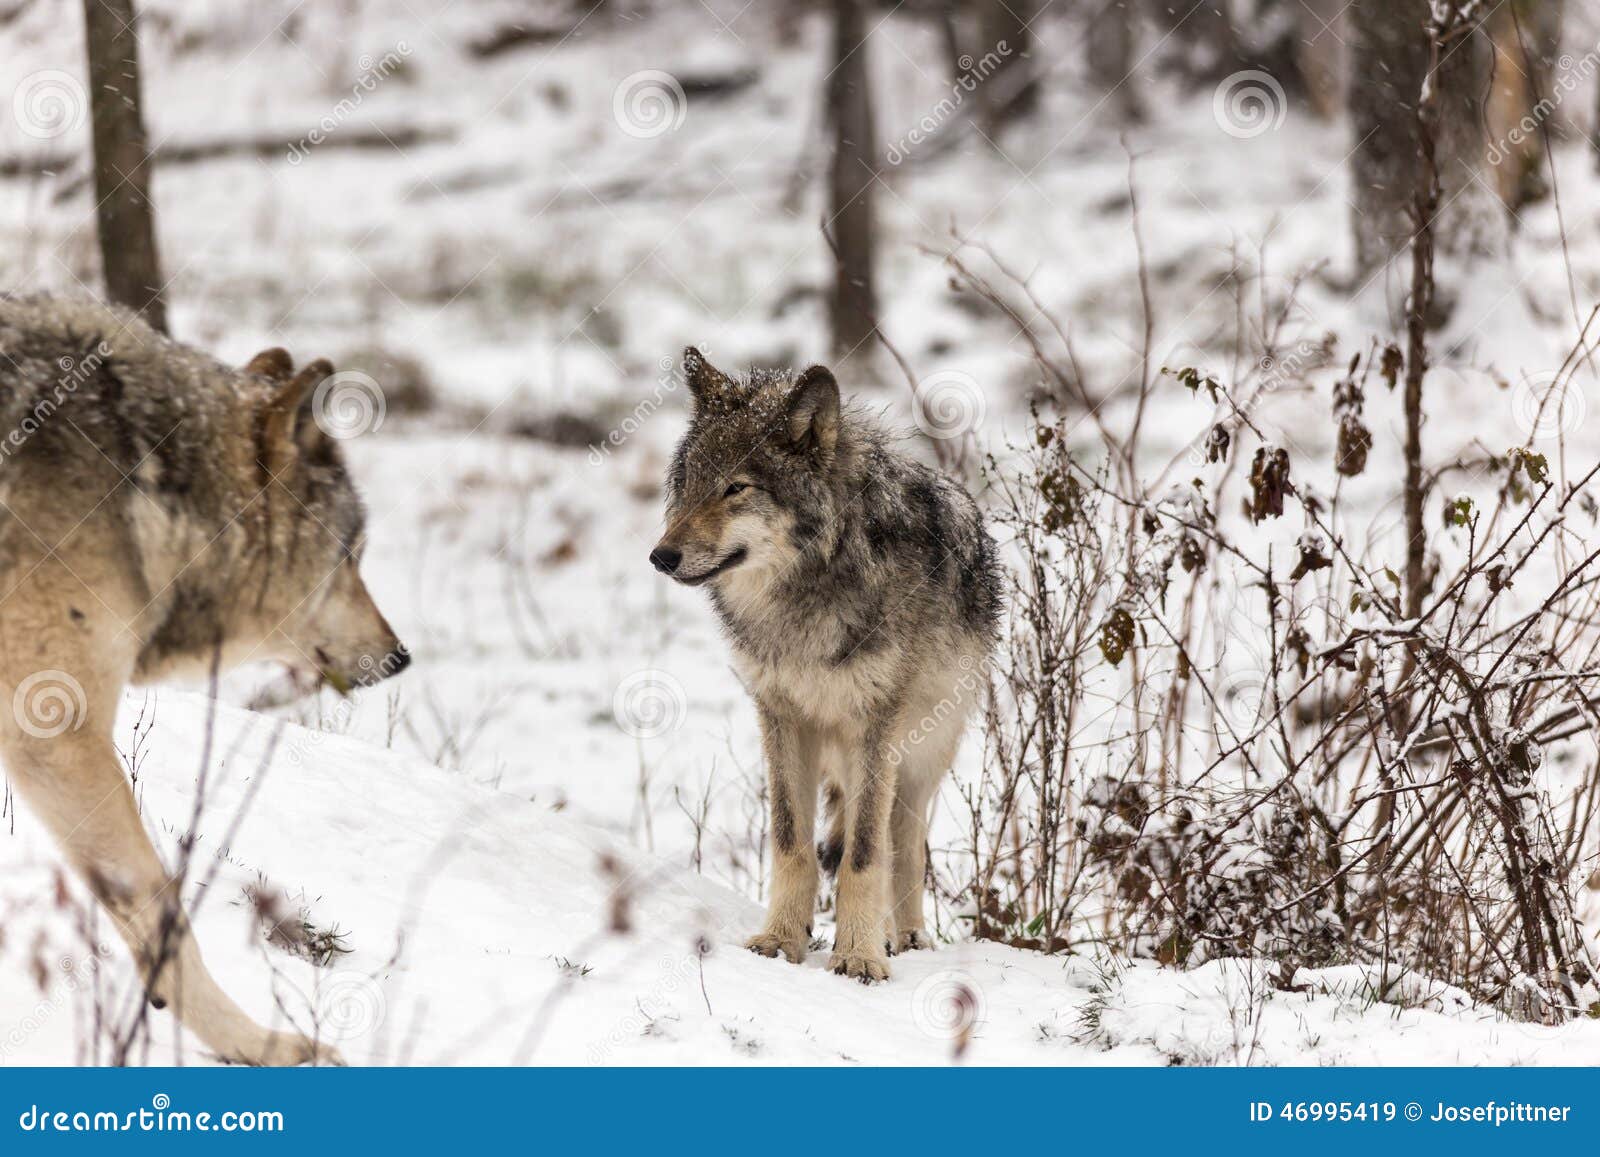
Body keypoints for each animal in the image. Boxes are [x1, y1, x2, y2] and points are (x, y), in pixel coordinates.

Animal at [0, 294, 408, 1064]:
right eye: (351, 554)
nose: (401, 656)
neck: (146, 485)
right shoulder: (56, 735)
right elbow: (161, 914)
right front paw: (258, 1044)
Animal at [651, 348, 1000, 981]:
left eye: (735, 488)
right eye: (687, 485)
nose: (661, 556)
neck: (804, 599)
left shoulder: (876, 724)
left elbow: (864, 855)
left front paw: (859, 955)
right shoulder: (780, 715)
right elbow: (792, 844)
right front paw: (780, 940)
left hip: (921, 754)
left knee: (902, 843)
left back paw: (907, 940)